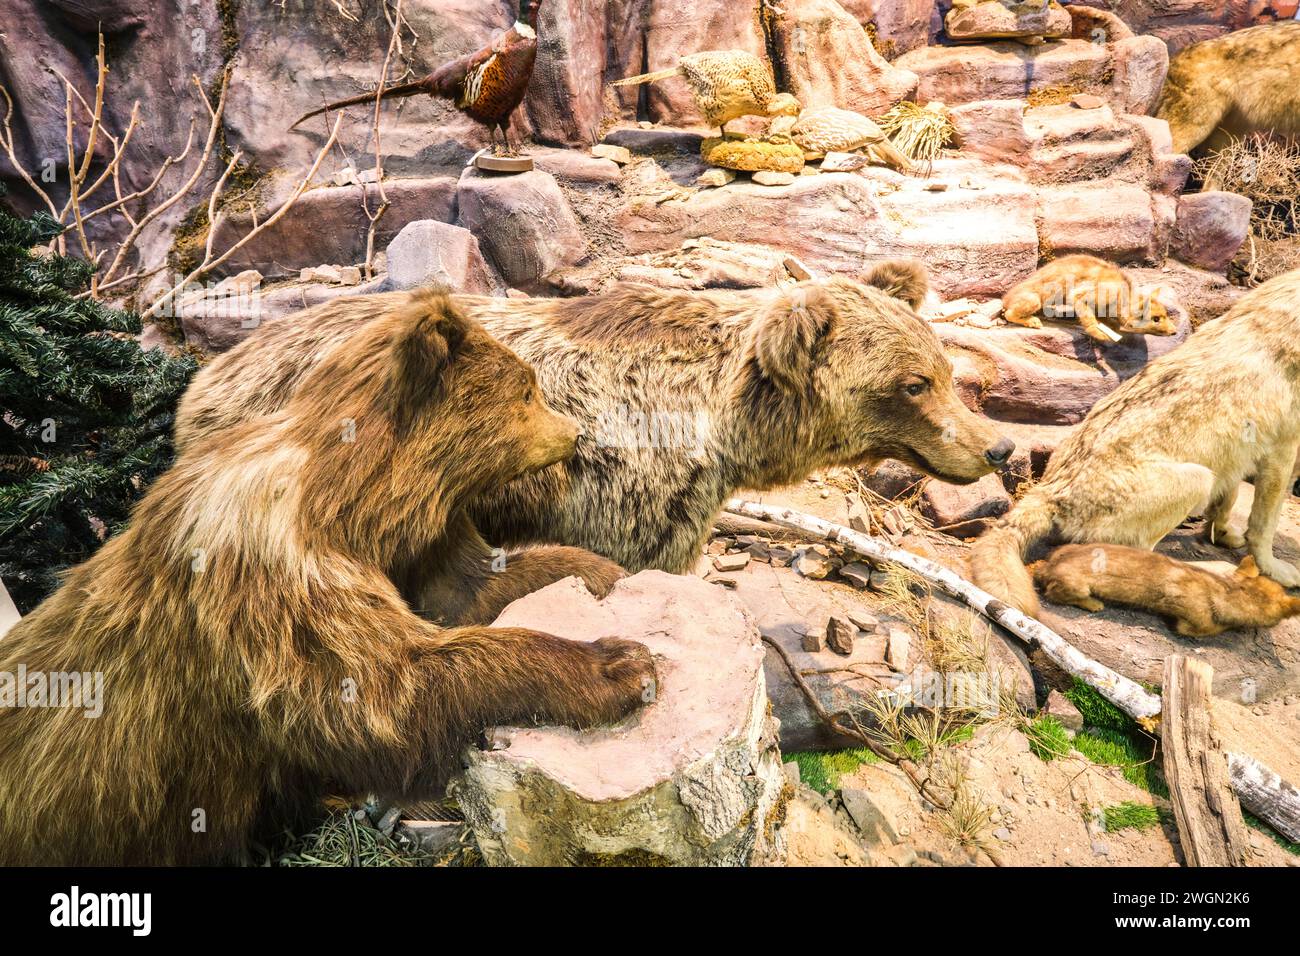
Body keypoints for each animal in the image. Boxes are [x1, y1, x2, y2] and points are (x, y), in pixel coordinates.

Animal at [0, 290, 654, 865]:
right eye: (528, 389)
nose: (576, 433)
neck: (352, 505)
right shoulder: (271, 572)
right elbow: (382, 687)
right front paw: (617, 664)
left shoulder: (415, 542)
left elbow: (471, 590)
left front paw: (602, 570)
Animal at [176, 262, 1014, 581]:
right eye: (912, 384)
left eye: (944, 370)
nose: (997, 447)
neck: (717, 429)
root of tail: (206, 378)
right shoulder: (618, 491)